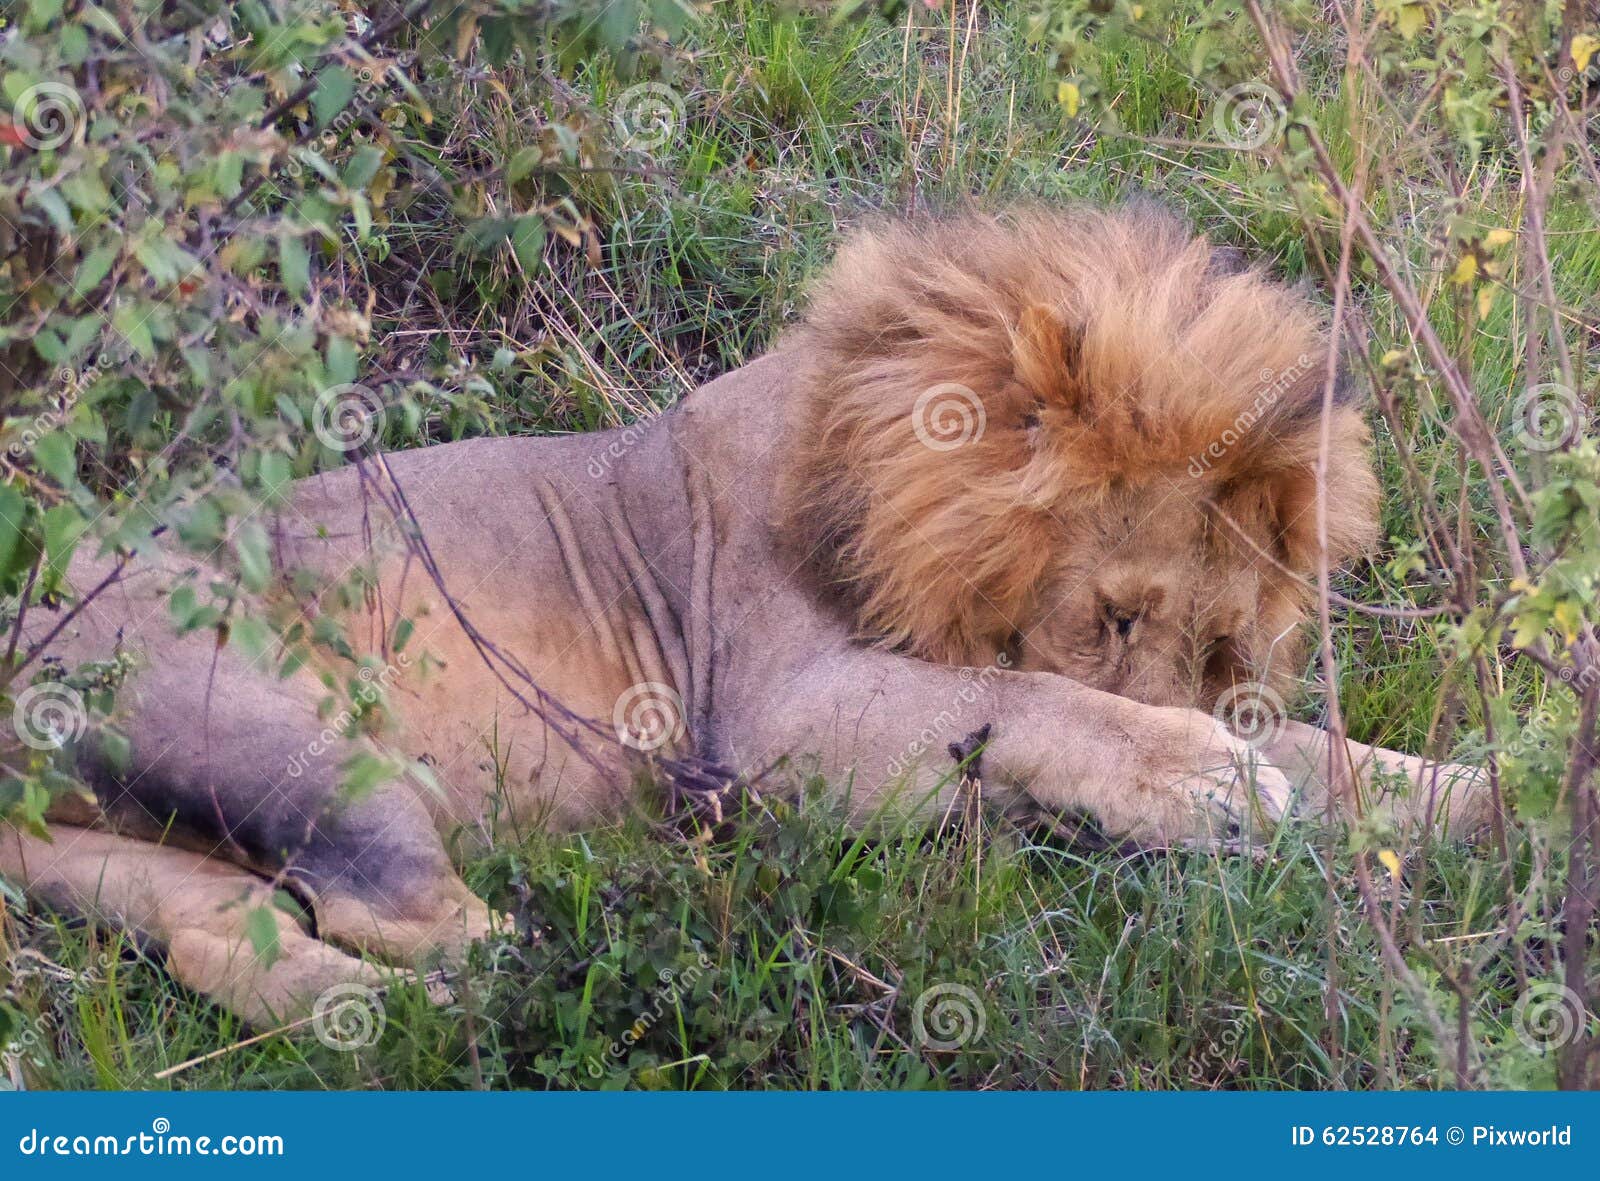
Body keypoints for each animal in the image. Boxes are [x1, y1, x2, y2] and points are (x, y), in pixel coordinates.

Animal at [0, 204, 1486, 1025]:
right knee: (408, 909)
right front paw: (1191, 777)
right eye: (1116, 615)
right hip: (305, 739)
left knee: (232, 936)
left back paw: (387, 1020)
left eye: (1227, 642)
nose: (1188, 705)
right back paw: (631, 925)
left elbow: (1331, 762)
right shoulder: (778, 716)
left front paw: (1481, 805)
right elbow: (1019, 699)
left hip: (123, 858)